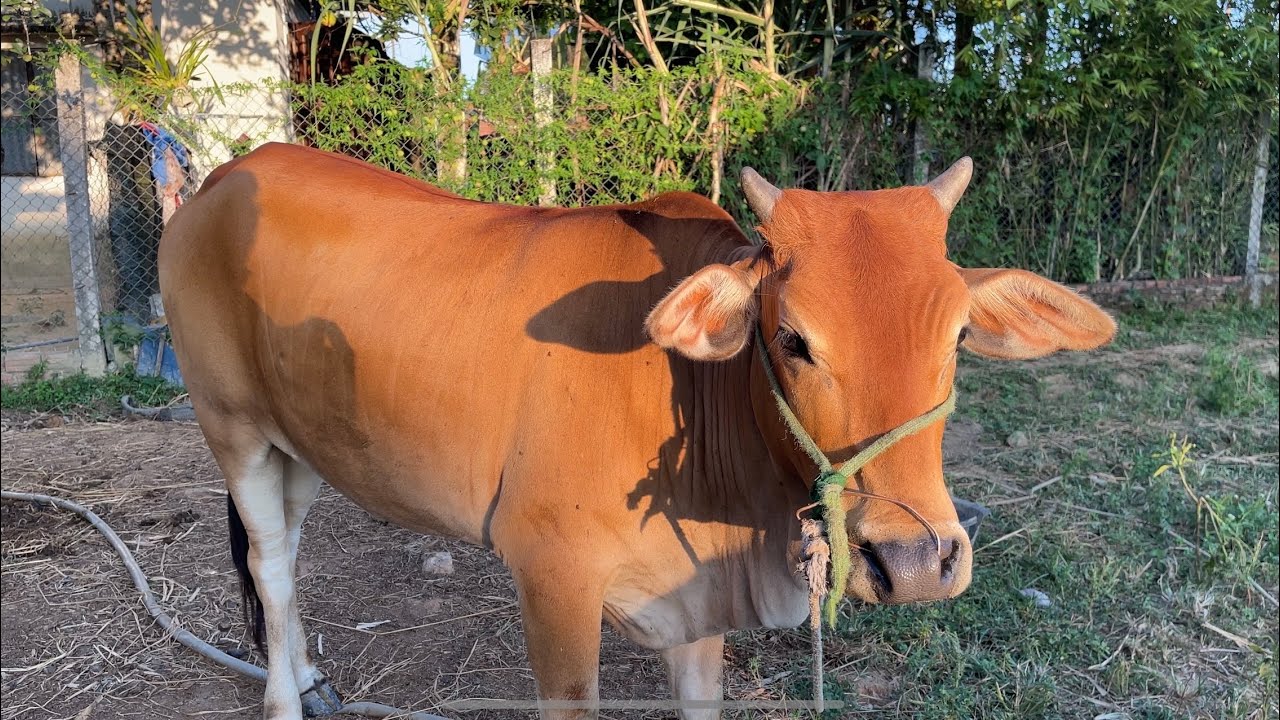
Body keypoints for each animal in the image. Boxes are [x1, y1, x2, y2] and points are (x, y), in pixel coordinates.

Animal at [158, 143, 1115, 720]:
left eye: (958, 337)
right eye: (793, 338)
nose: (913, 561)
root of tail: (228, 174)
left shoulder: (698, 601)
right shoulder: (552, 579)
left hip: (301, 441)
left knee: (282, 558)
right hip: (231, 426)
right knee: (269, 566)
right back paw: (285, 698)